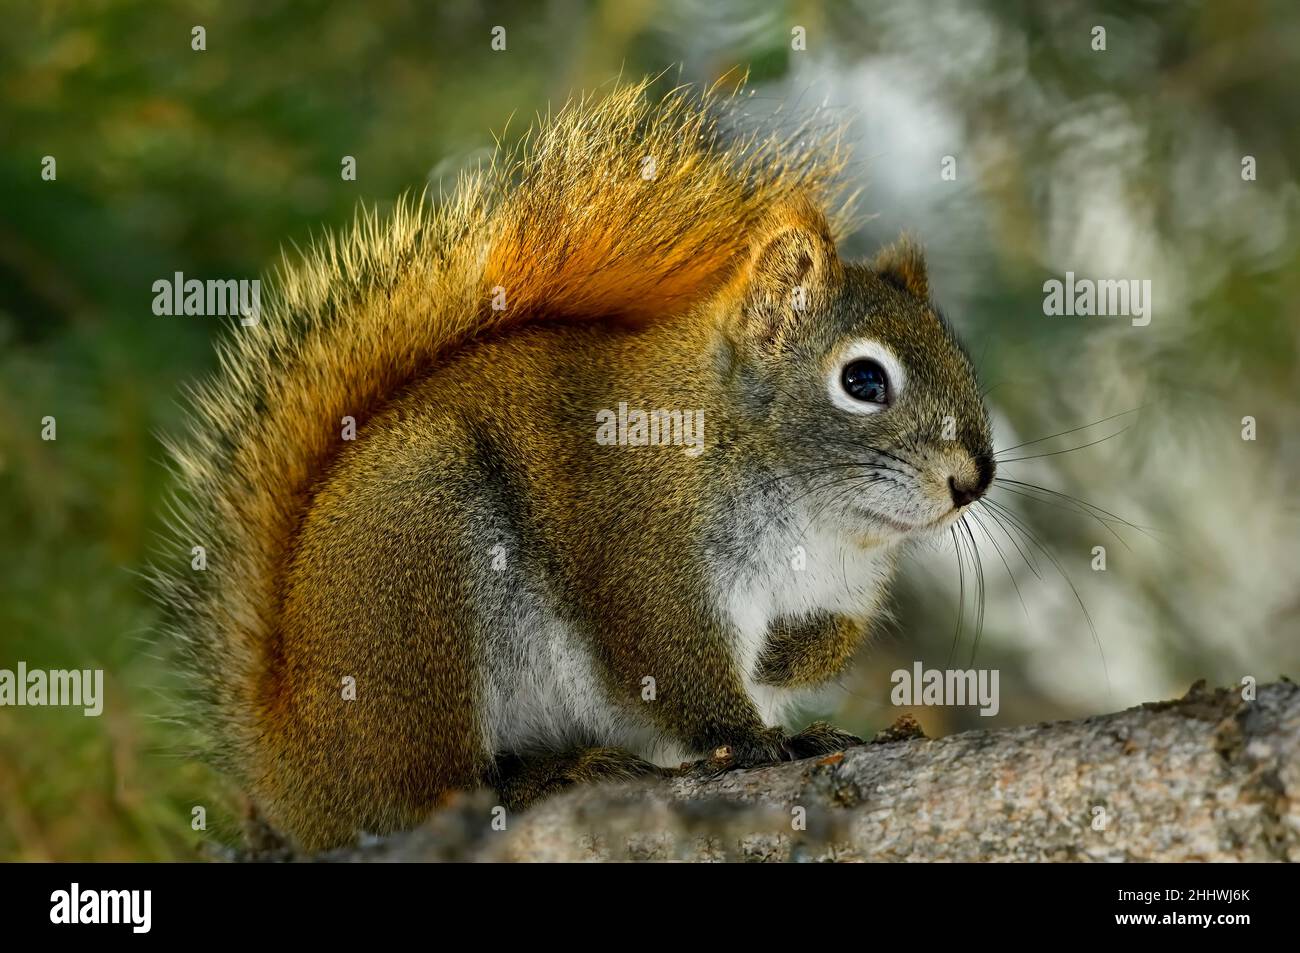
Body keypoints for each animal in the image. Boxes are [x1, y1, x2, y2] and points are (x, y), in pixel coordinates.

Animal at [155, 79, 994, 851]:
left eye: (962, 358)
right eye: (864, 380)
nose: (973, 482)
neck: (820, 517)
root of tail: (295, 768)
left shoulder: (845, 588)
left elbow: (815, 648)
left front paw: (789, 674)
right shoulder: (642, 550)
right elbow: (671, 658)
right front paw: (760, 740)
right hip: (414, 564)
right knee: (426, 785)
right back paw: (539, 777)